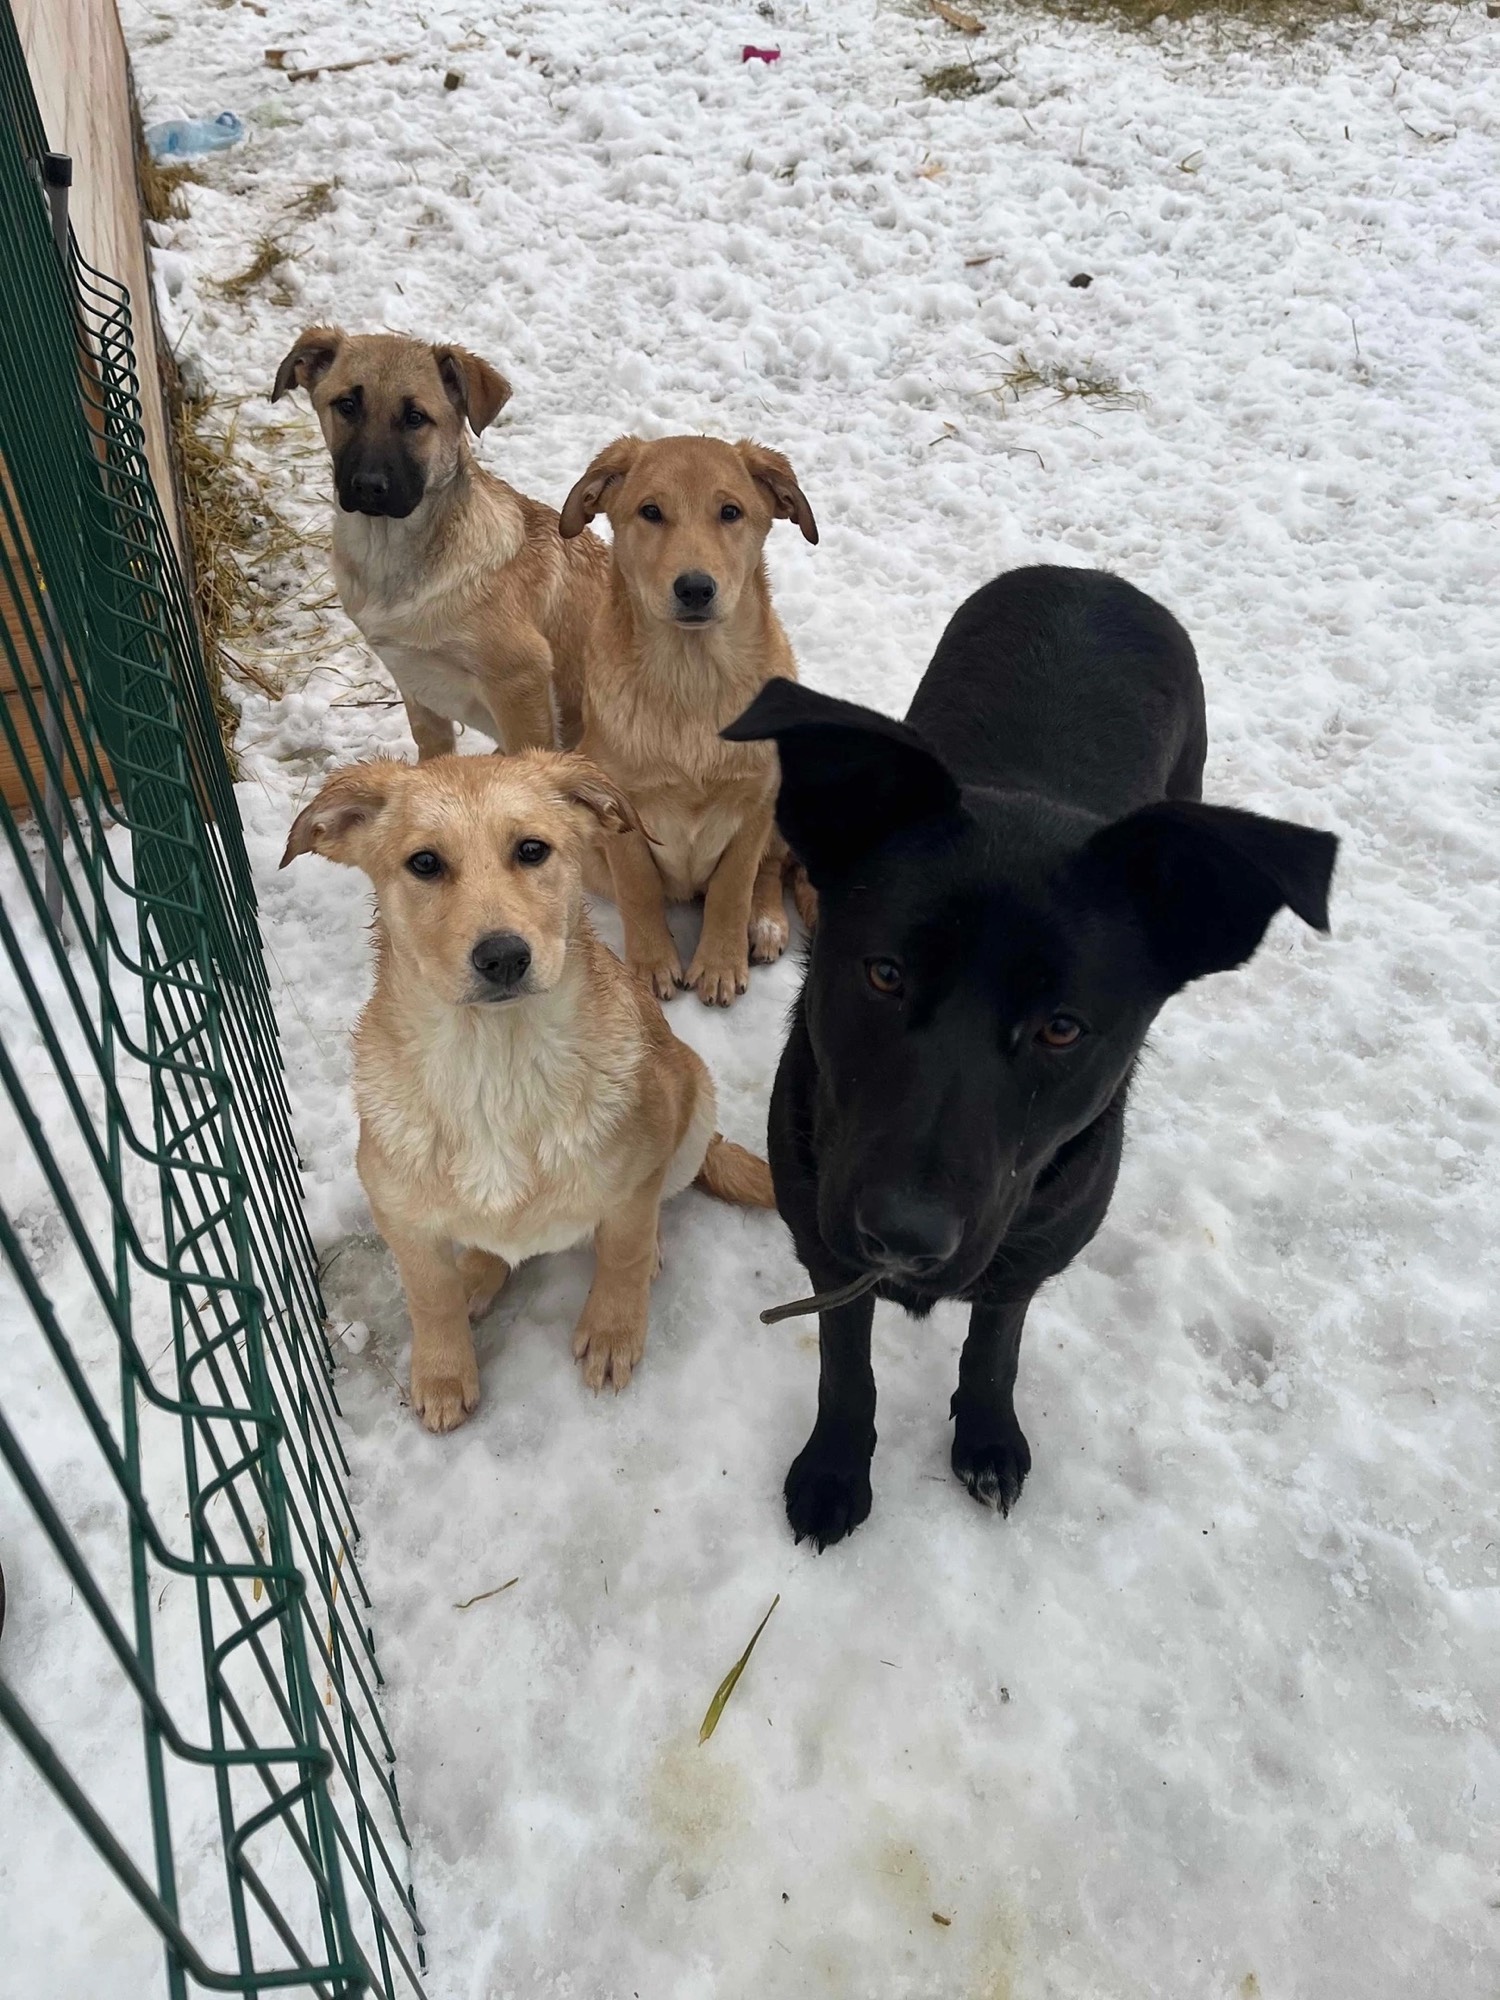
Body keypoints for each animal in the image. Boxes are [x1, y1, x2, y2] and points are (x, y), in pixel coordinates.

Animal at [282, 748, 776, 1424]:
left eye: (533, 850)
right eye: (425, 863)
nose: (503, 958)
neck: (498, 1065)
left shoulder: (638, 1176)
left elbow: (622, 1251)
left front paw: (615, 1329)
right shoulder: (398, 1212)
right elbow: (428, 1295)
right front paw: (443, 1371)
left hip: (693, 1102)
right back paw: (476, 1274)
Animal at [560, 432, 824, 1008]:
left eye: (730, 512)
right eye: (650, 512)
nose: (696, 588)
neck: (693, 680)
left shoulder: (755, 803)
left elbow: (734, 885)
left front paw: (721, 961)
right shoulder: (620, 815)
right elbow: (638, 889)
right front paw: (651, 964)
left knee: (774, 865)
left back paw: (764, 923)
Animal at [728, 564, 1336, 1544]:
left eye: (1061, 1028)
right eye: (885, 973)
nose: (903, 1236)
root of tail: (1094, 576)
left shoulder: (1031, 1250)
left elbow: (995, 1344)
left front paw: (983, 1437)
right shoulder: (825, 1244)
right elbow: (844, 1361)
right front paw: (835, 1468)